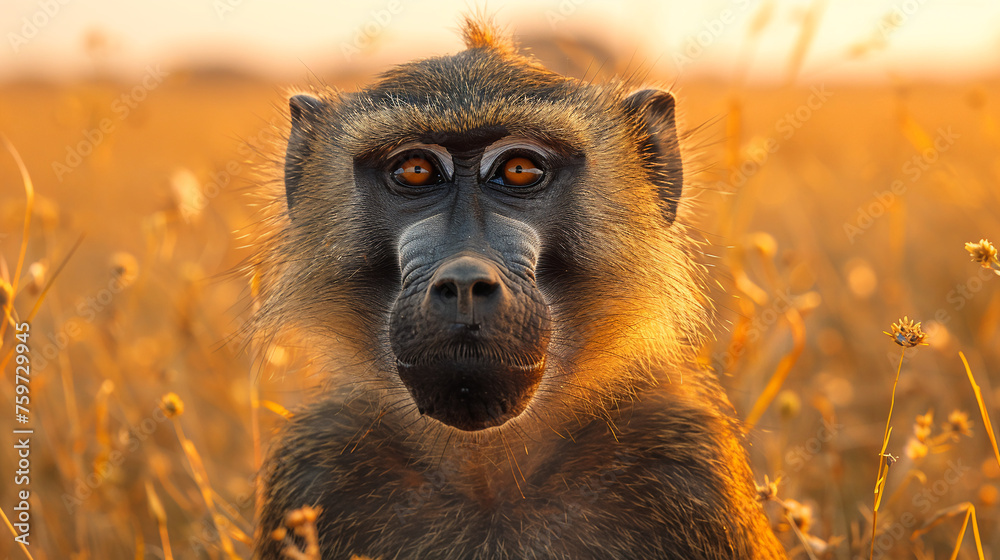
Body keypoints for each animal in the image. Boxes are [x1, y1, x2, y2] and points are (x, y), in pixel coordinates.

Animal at [250, 15, 787, 560]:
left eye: (518, 170)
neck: (487, 478)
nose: (465, 282)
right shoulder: (316, 463)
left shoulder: (686, 465)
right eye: (416, 170)